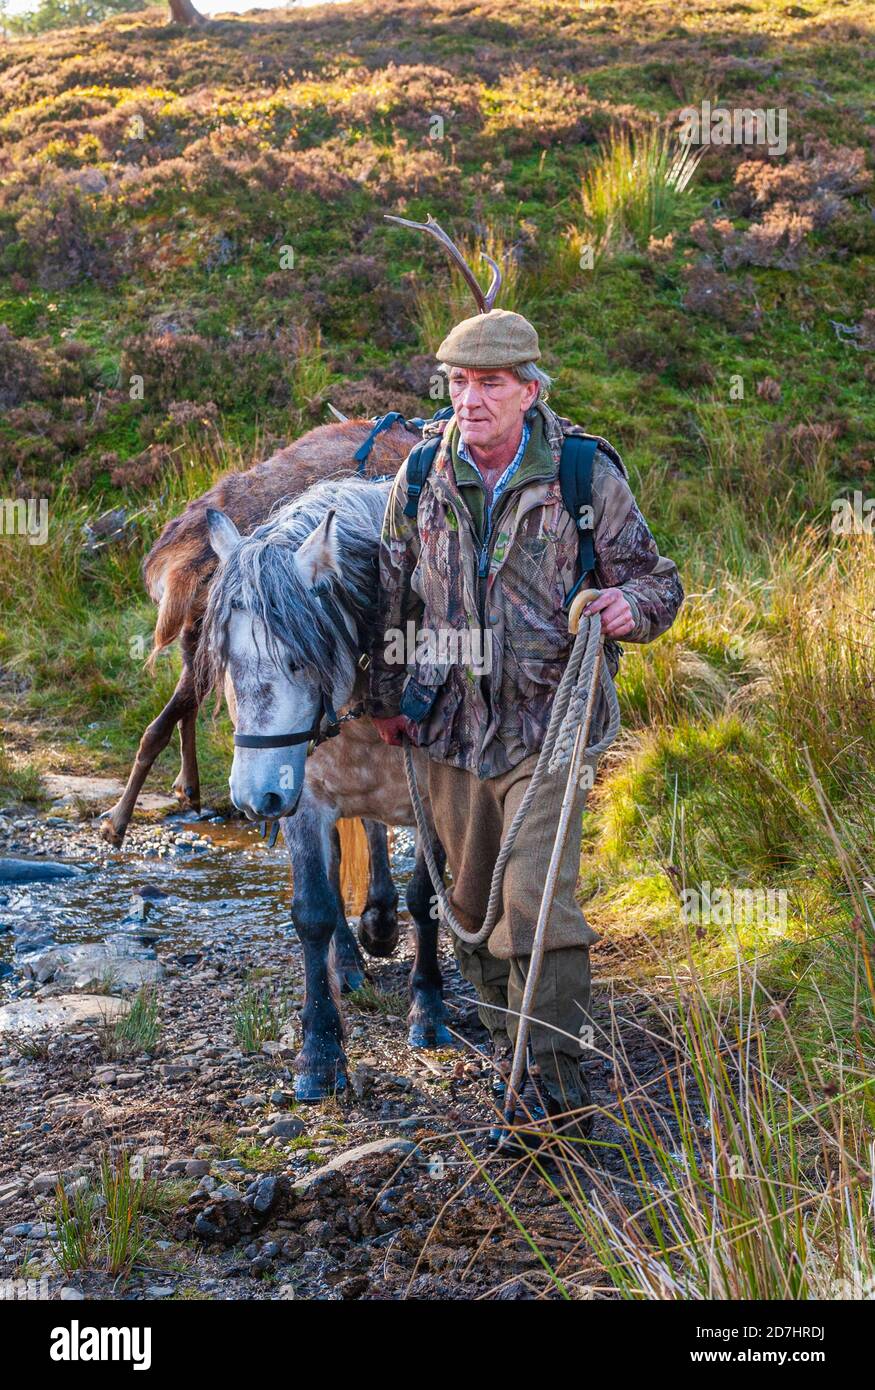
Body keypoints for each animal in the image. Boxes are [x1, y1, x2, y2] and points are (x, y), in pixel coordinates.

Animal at [198, 474, 451, 1101]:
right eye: (229, 661)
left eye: (297, 659)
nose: (253, 798)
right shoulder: (303, 803)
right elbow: (314, 907)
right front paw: (320, 1052)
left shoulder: (433, 797)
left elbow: (426, 898)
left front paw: (429, 1010)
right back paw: (355, 955)